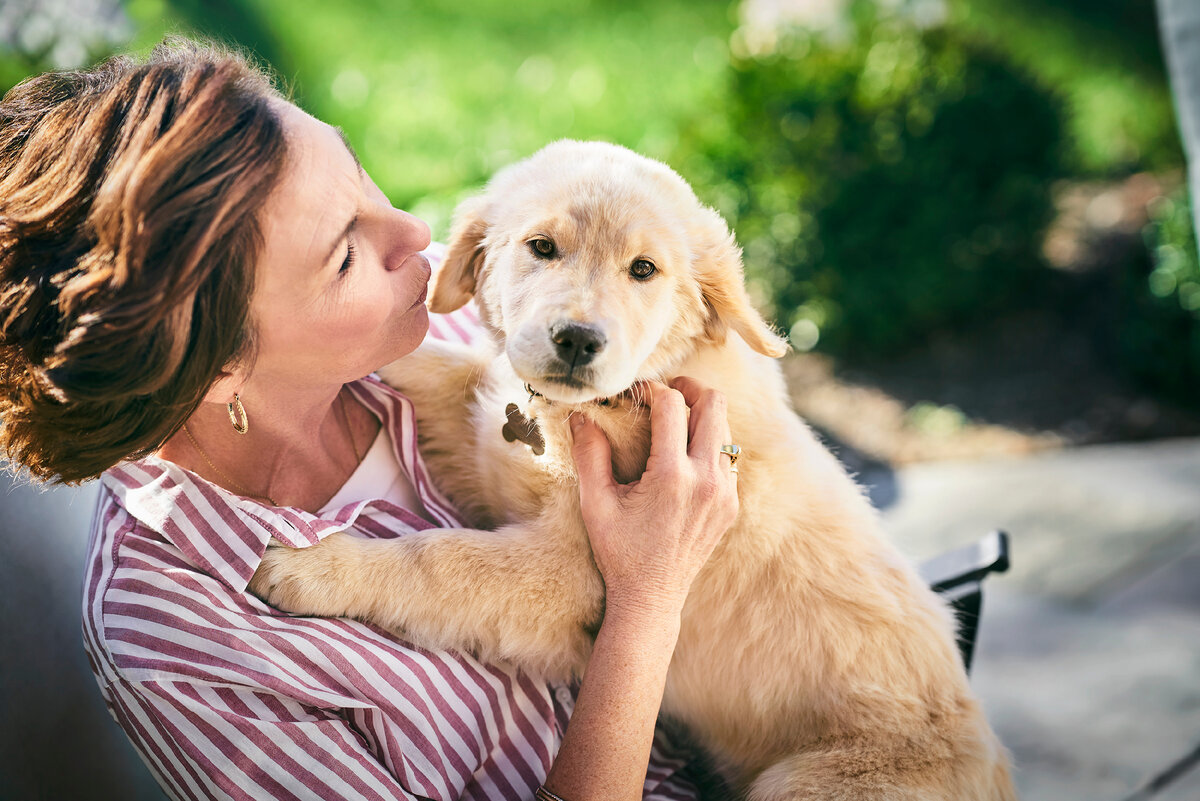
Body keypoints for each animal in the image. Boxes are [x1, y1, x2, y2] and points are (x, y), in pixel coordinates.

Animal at [250, 140, 1012, 796]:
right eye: (542, 247)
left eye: (643, 270)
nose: (578, 340)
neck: (609, 402)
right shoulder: (488, 440)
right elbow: (441, 368)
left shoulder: (569, 575)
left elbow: (440, 557)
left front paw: (314, 567)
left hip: (806, 782)